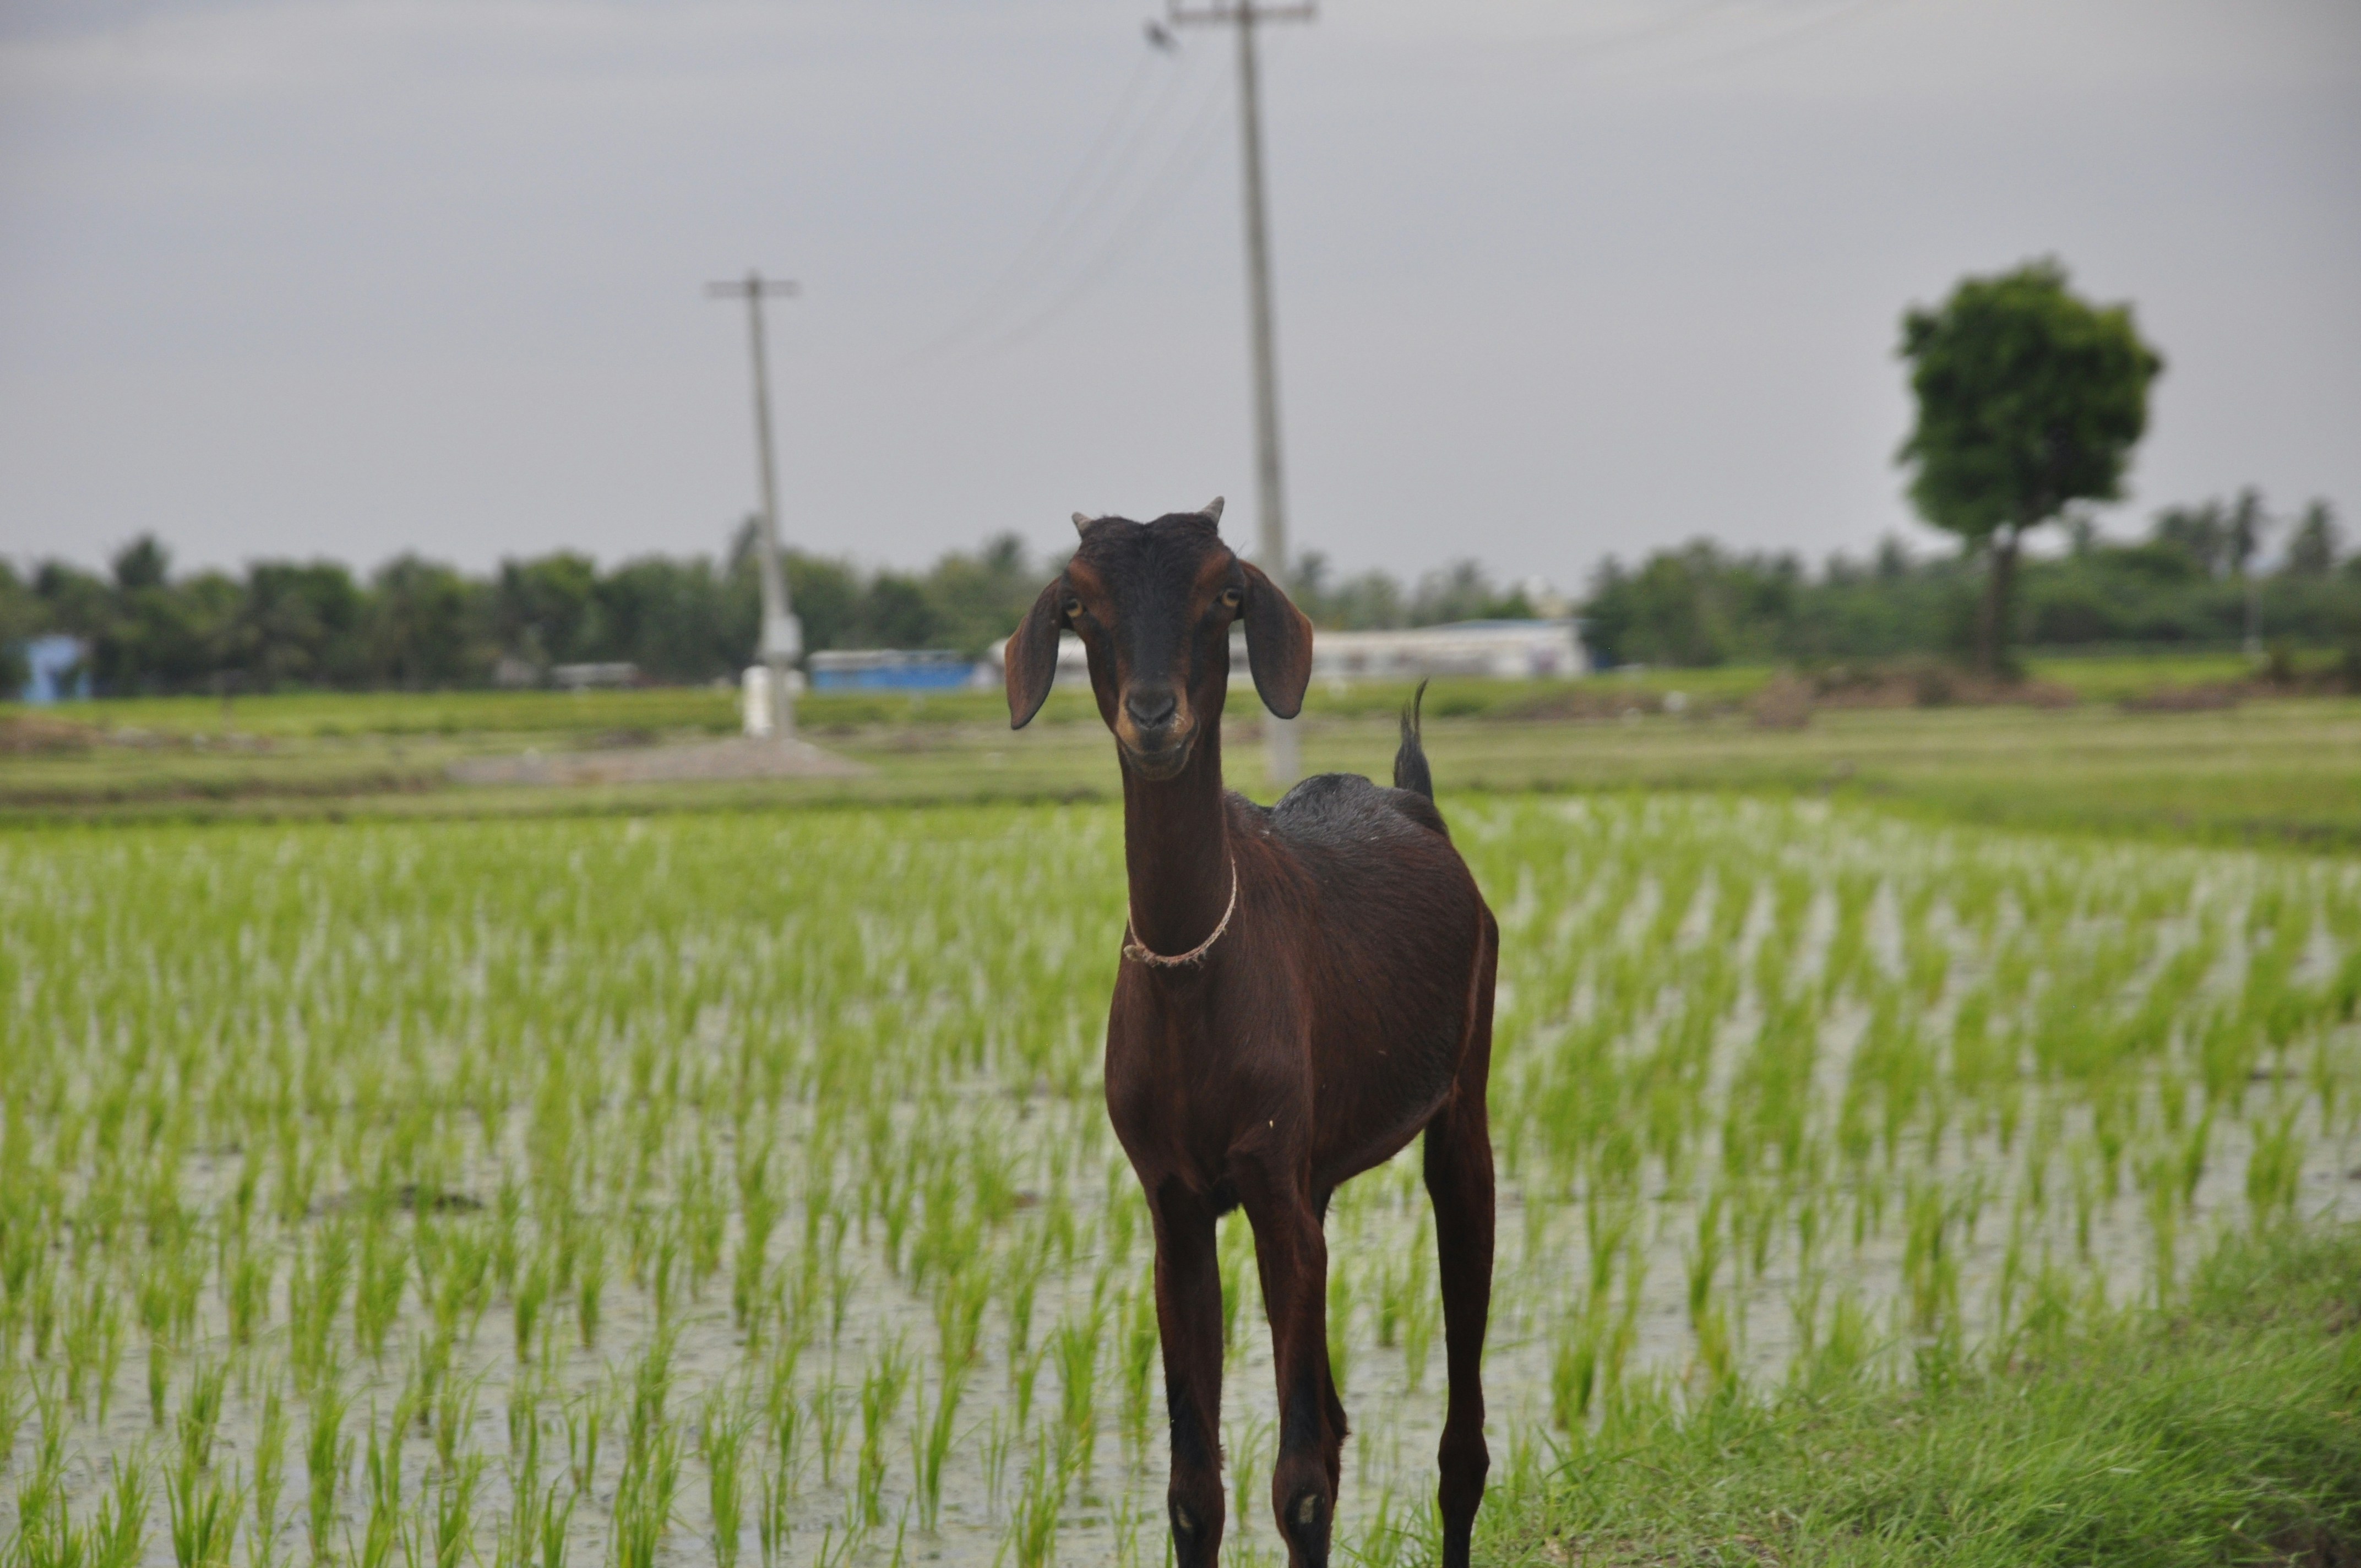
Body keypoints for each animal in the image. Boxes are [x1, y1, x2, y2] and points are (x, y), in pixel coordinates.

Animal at [1004, 500, 1499, 1568]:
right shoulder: (1177, 1206)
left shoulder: (1273, 1189)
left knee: (1461, 1444)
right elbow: (1195, 1488)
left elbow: (1301, 1485)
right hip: (1316, 1172)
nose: (1153, 716)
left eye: (1224, 594)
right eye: (1078, 604)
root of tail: (1413, 797)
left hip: (1462, 1099)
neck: (1195, 970)